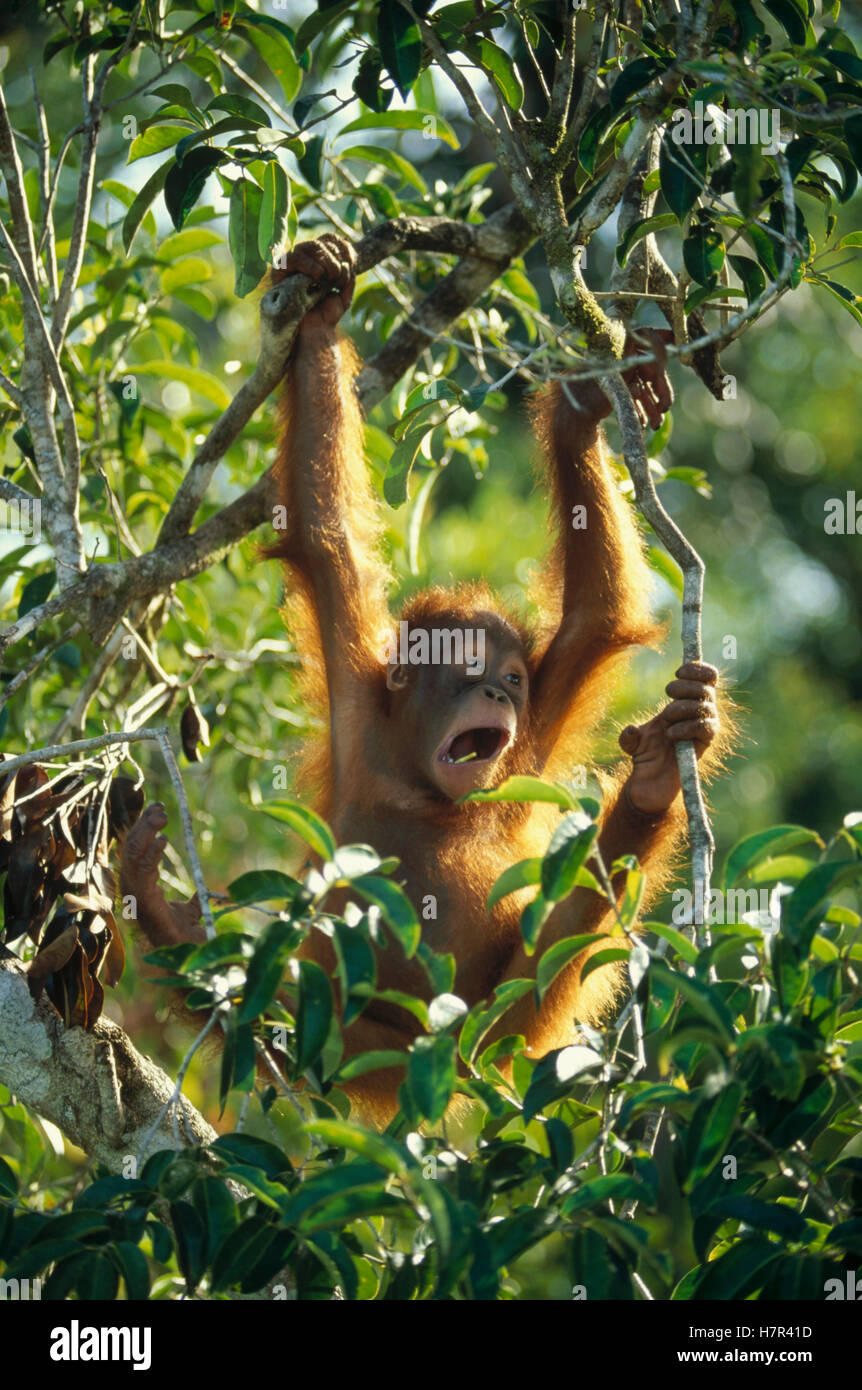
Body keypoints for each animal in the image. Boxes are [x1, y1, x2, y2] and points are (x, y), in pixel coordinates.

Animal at [120, 234, 722, 1126]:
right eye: (471, 673)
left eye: (513, 678)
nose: (499, 694)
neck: (429, 789)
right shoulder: (357, 701)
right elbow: (323, 527)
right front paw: (321, 311)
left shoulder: (537, 728)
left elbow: (598, 614)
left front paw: (581, 410)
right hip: (366, 1054)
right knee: (294, 1009)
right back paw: (169, 927)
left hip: (500, 1032)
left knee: (561, 943)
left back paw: (652, 782)